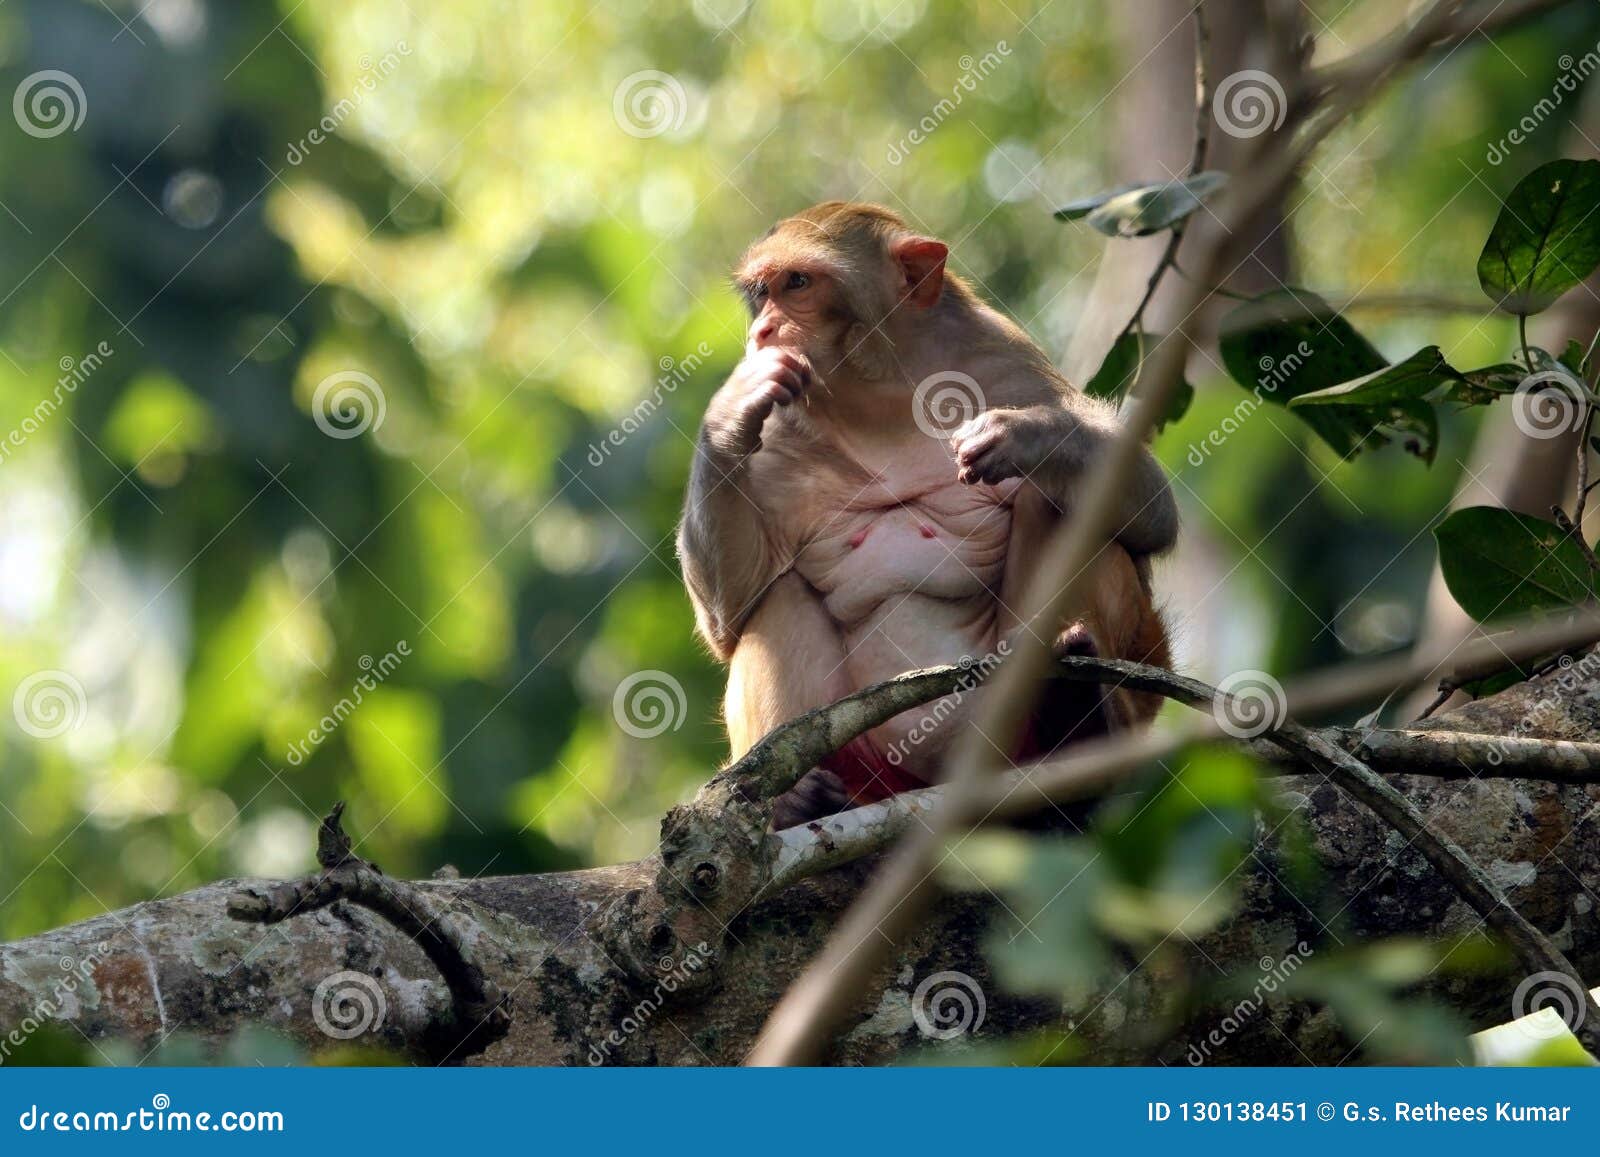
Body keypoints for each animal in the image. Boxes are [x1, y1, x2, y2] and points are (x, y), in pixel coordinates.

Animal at [677, 202, 1177, 830]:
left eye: (796, 283)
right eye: (761, 292)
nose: (762, 331)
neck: (880, 392)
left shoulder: (1006, 361)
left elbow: (1154, 514)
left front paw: (1025, 436)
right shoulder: (779, 436)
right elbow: (729, 617)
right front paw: (730, 412)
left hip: (1002, 733)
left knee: (1065, 510)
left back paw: (1083, 727)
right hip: (862, 765)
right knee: (779, 597)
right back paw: (792, 803)